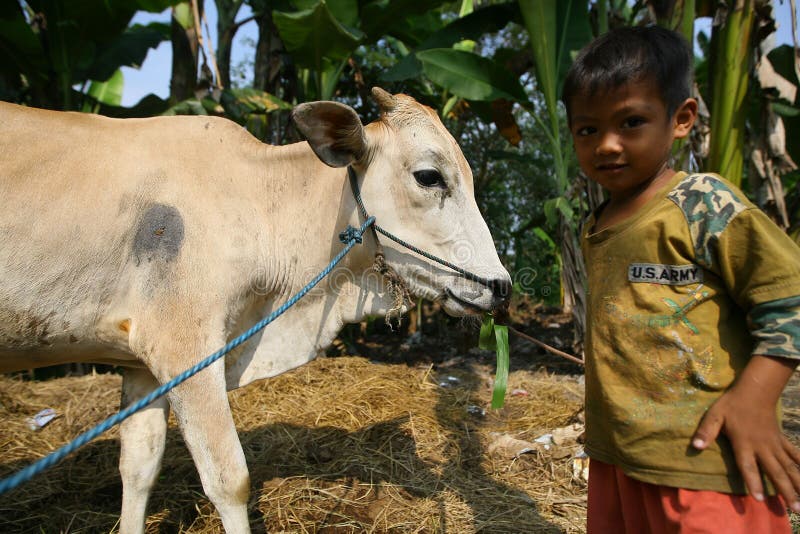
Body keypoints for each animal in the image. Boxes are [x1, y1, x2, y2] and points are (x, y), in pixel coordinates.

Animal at [0, 87, 511, 533]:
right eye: (429, 176)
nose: (500, 287)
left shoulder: (142, 362)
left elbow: (139, 467)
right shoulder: (184, 349)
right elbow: (230, 481)